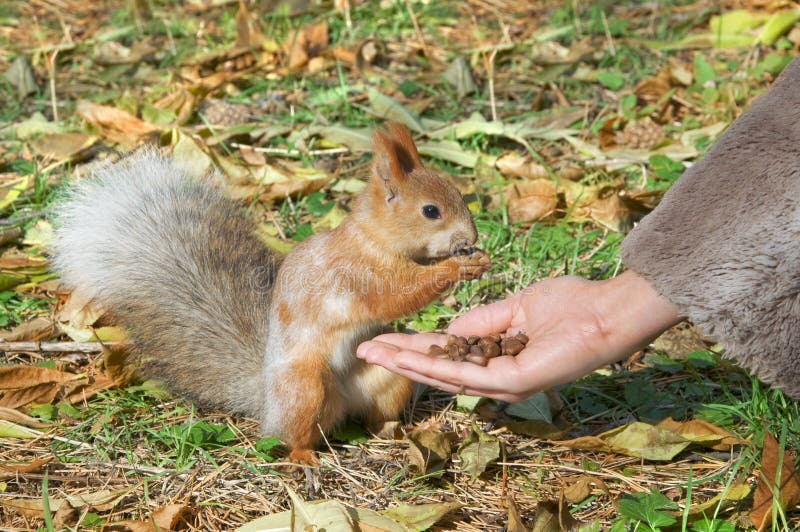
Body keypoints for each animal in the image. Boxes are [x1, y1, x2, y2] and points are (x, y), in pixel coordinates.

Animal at [51, 123, 491, 465]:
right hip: (305, 386)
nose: (472, 237)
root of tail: (266, 401)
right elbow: (397, 294)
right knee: (295, 434)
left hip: (385, 377)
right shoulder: (357, 274)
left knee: (371, 418)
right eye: (430, 211)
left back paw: (399, 429)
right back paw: (304, 457)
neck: (375, 239)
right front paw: (458, 267)